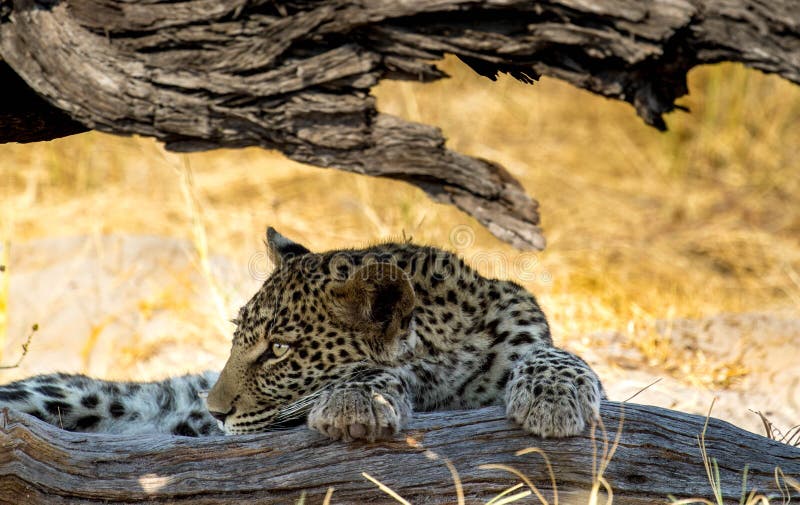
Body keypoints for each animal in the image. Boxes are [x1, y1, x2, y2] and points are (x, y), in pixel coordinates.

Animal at [0, 227, 604, 441]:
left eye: (280, 350)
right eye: (237, 338)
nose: (211, 411)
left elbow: (560, 356)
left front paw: (552, 401)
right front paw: (356, 403)